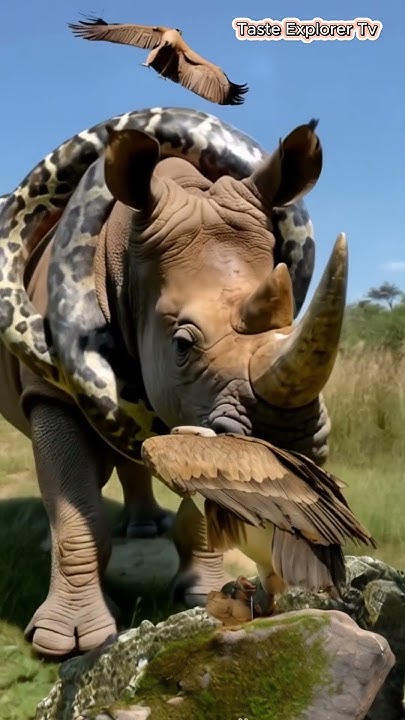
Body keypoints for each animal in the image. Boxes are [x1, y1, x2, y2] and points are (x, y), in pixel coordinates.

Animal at [0, 107, 346, 658]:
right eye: (182, 344)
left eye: (292, 324)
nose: (288, 447)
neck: (124, 258)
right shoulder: (50, 391)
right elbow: (76, 516)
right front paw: (66, 644)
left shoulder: (200, 417)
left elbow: (205, 498)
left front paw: (203, 595)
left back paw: (145, 528)